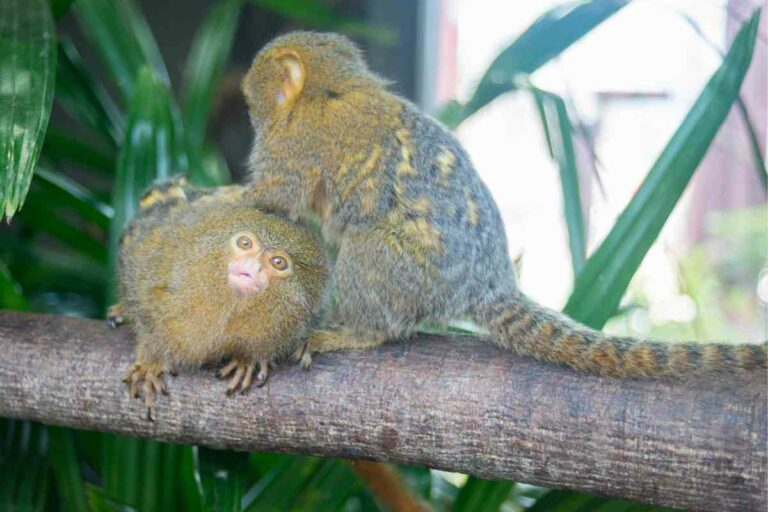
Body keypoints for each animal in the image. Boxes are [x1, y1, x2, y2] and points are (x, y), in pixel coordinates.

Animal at [110, 178, 328, 419]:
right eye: (245, 243)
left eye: (278, 262)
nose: (252, 266)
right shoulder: (157, 259)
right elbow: (143, 308)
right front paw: (151, 360)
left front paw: (247, 360)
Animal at [239, 31, 766, 379]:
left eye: (250, 100)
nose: (244, 99)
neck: (328, 88)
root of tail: (488, 283)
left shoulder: (295, 146)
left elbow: (276, 197)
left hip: (410, 275)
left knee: (366, 252)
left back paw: (356, 332)